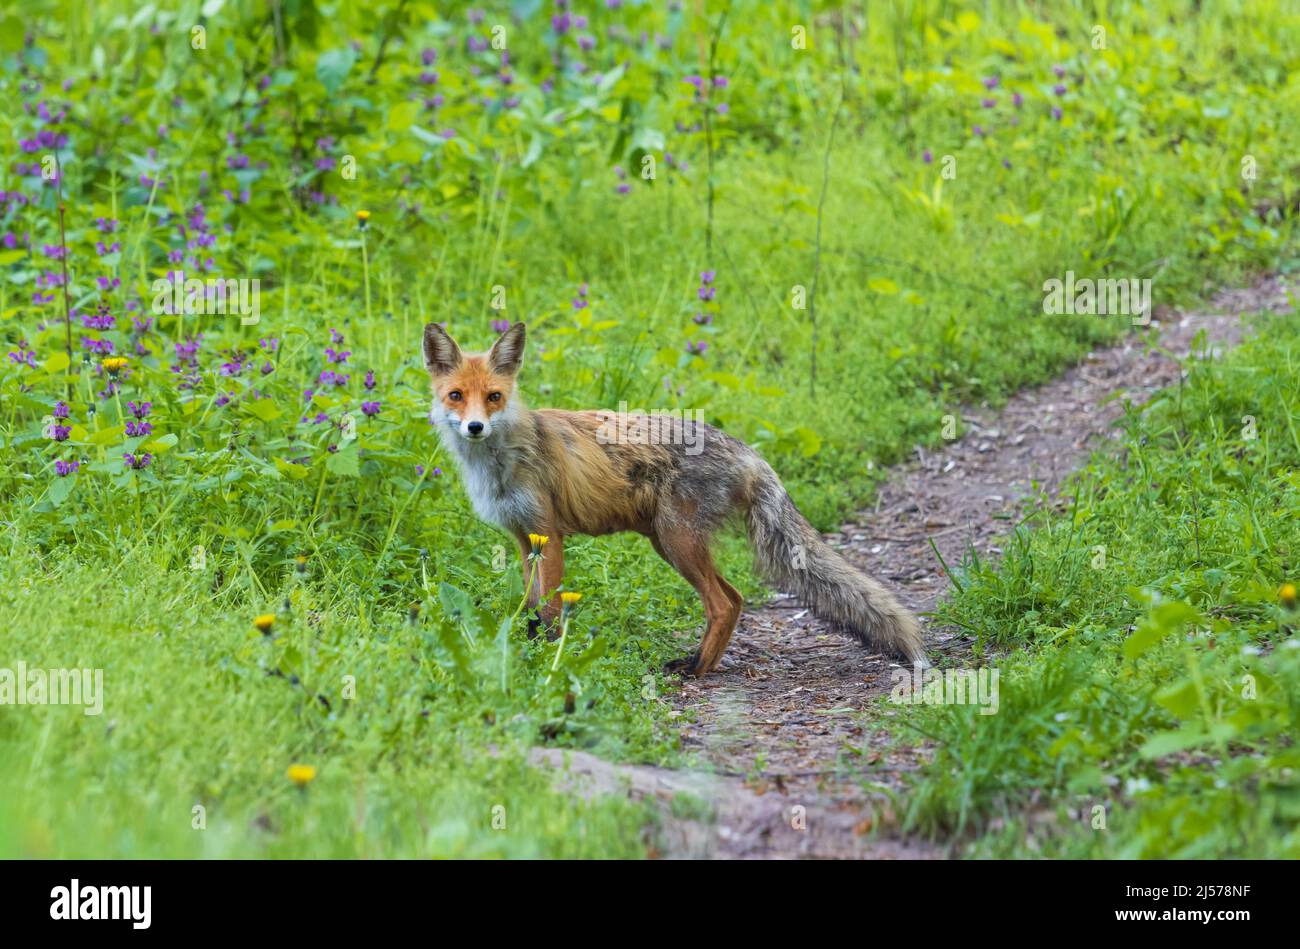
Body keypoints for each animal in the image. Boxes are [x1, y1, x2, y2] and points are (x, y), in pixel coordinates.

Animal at [423, 321, 925, 676]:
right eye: (456, 396)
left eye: (493, 397)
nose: (474, 427)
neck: (500, 464)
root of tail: (748, 451)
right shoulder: (524, 539)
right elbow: (530, 608)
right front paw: (525, 649)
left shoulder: (549, 535)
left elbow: (549, 609)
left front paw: (548, 660)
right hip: (669, 543)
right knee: (736, 598)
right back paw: (706, 663)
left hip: (676, 541)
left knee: (723, 603)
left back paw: (696, 669)